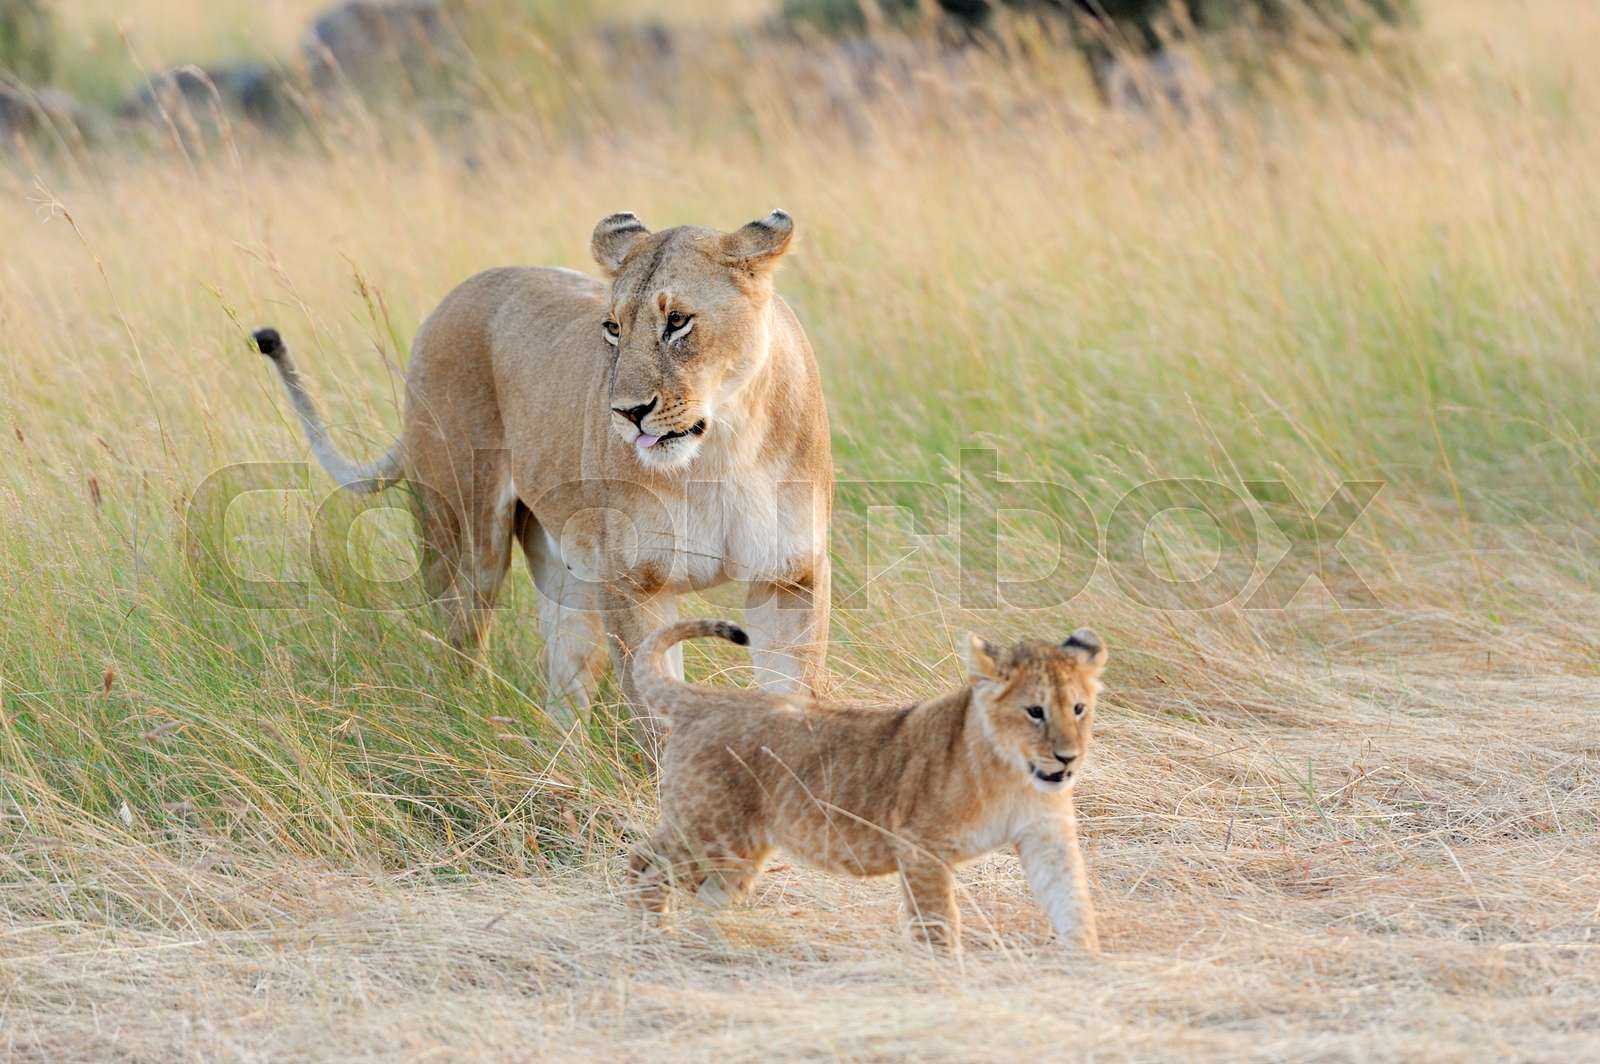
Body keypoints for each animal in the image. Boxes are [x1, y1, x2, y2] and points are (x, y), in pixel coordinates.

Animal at [251, 211, 832, 751]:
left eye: (678, 321)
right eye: (613, 327)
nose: (628, 412)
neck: (721, 454)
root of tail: (459, 292)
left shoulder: (789, 578)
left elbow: (793, 698)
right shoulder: (633, 583)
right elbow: (658, 719)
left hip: (569, 570)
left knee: (565, 686)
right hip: (466, 539)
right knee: (456, 639)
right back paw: (460, 717)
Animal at [627, 619, 1107, 952]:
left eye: (1079, 708)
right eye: (1035, 712)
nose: (1068, 758)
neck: (1012, 775)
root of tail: (706, 700)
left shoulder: (1046, 836)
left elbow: (1071, 899)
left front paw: (1086, 963)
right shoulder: (921, 846)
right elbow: (937, 920)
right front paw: (948, 977)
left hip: (739, 848)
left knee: (709, 894)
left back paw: (708, 944)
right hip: (709, 829)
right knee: (644, 864)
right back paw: (650, 939)